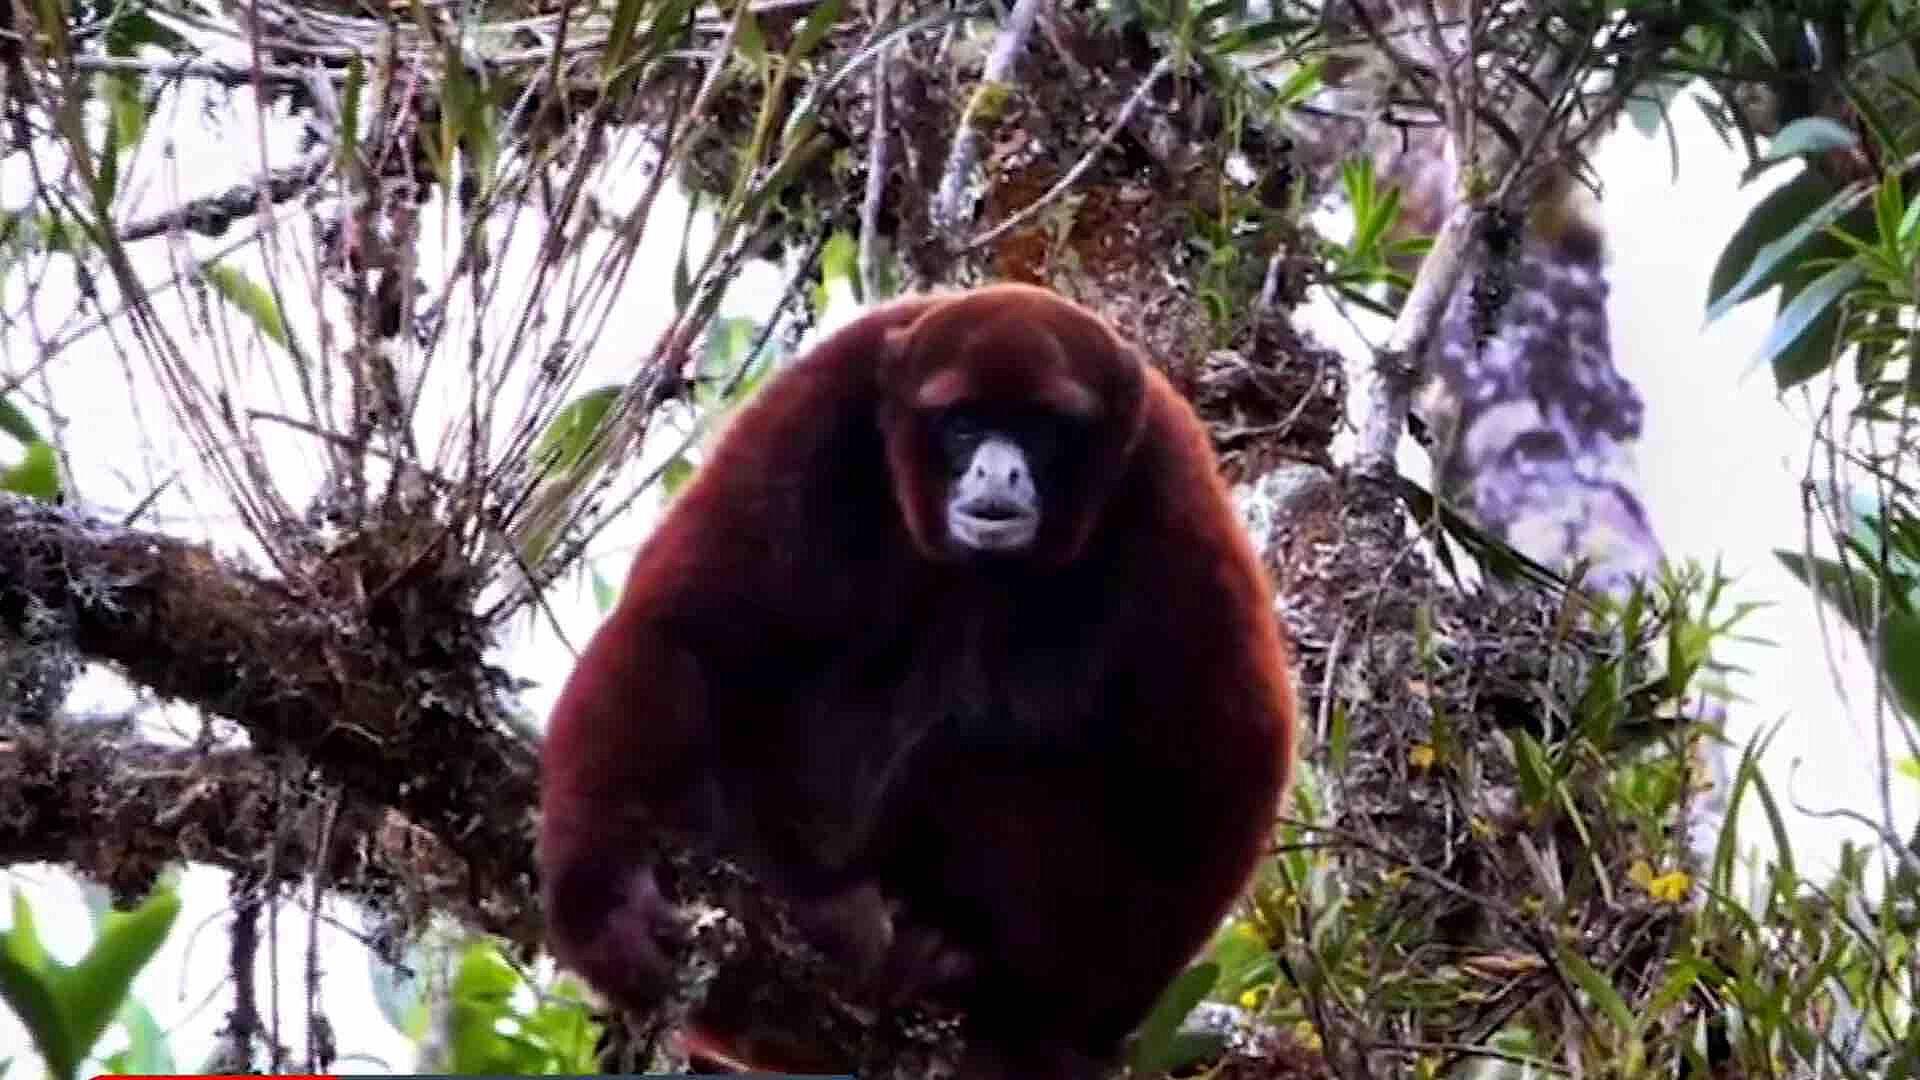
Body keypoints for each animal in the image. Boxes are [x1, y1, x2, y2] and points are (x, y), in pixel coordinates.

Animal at [537, 283, 1297, 1079]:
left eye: (1042, 431)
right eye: (962, 427)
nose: (997, 472)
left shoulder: (1168, 474)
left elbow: (1222, 763)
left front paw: (1047, 1028)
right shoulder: (817, 402)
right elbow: (686, 630)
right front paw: (602, 895)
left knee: (998, 745)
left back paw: (962, 960)